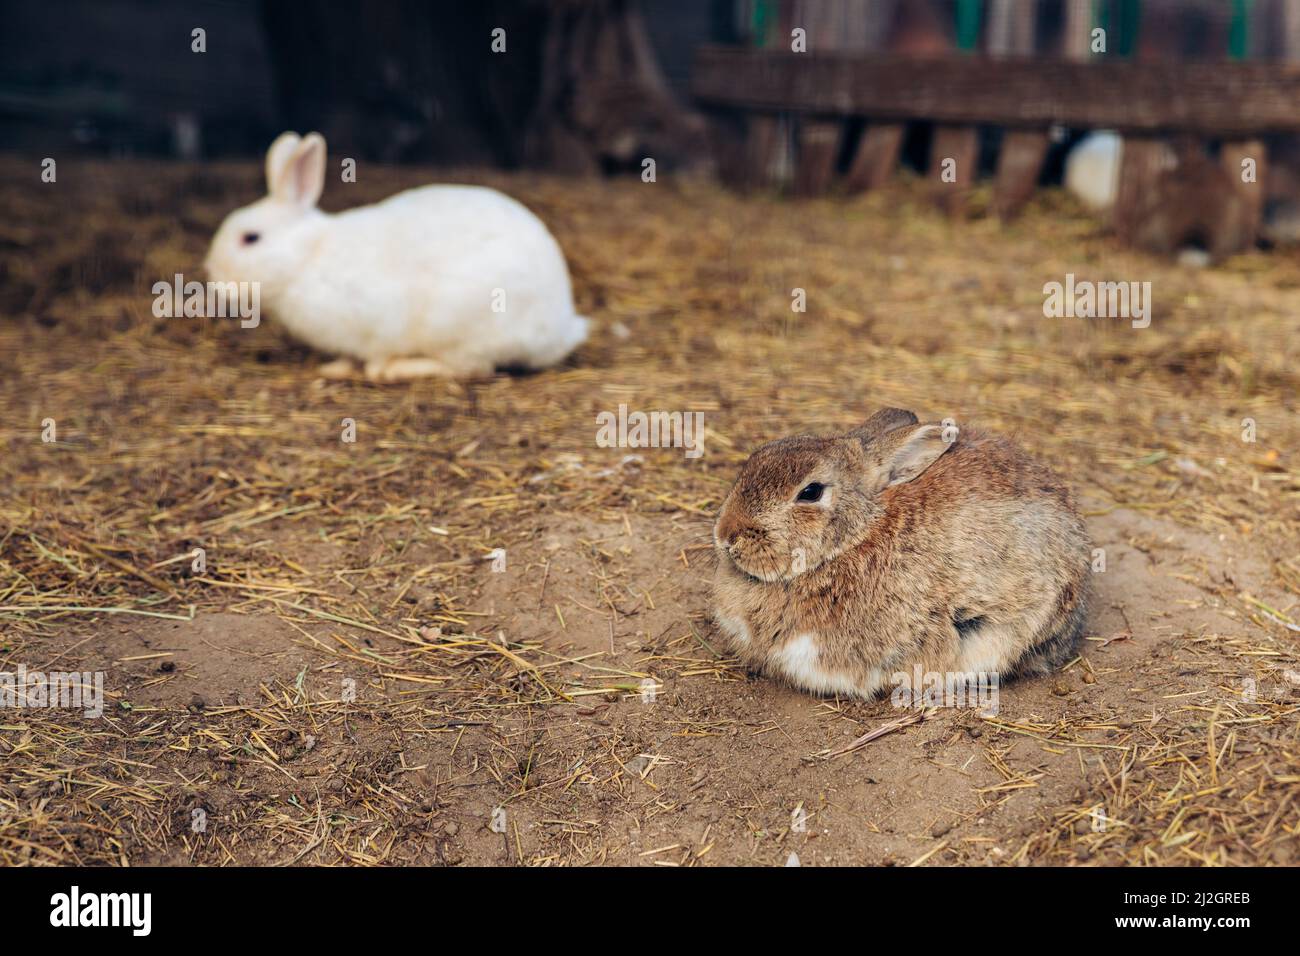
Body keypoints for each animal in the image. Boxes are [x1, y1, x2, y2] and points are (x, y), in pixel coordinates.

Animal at [203, 132, 589, 382]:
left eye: (250, 238)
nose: (214, 279)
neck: (307, 258)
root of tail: (562, 326)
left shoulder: (378, 322)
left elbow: (376, 355)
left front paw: (367, 370)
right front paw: (335, 367)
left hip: (458, 326)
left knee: (474, 370)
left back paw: (401, 370)